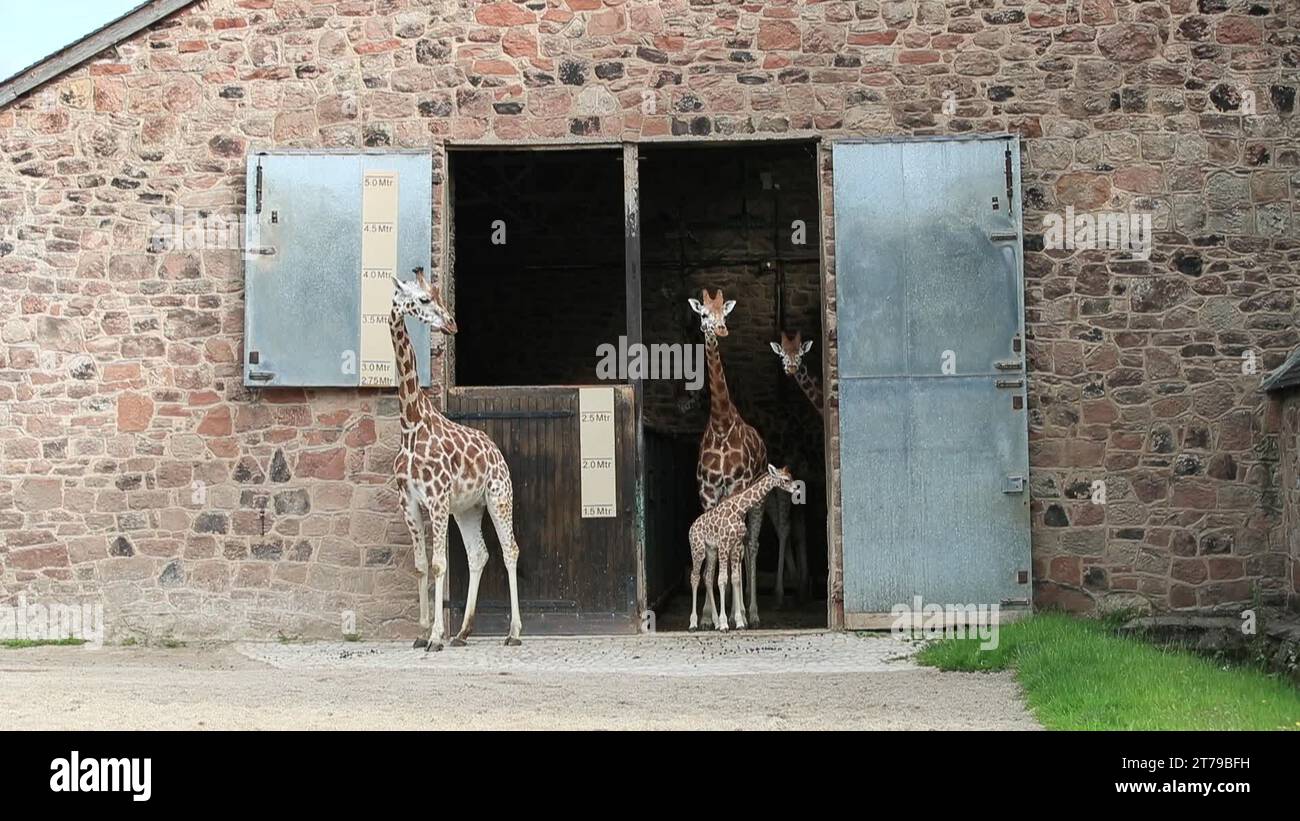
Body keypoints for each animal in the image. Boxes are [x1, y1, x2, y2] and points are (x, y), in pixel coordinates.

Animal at [390, 267, 523, 651]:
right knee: (479, 553)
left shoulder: (436, 499)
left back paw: (514, 633)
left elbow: (438, 565)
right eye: (423, 299)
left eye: (437, 296)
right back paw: (463, 632)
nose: (451, 324)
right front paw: (422, 633)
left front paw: (435, 637)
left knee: (510, 549)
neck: (411, 422)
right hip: (467, 508)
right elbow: (421, 565)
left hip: (499, 496)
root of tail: (496, 450)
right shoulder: (409, 501)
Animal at [689, 288, 789, 627]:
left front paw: (736, 613)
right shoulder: (707, 493)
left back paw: (752, 611)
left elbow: (737, 552)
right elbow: (712, 554)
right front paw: (708, 617)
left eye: (725, 313)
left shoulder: (737, 488)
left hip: (759, 501)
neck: (721, 425)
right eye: (704, 314)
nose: (720, 330)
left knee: (752, 546)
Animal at [689, 465, 800, 631]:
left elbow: (734, 578)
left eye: (791, 477)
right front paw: (725, 624)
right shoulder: (724, 543)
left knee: (707, 577)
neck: (740, 508)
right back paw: (693, 623)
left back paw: (714, 622)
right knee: (695, 577)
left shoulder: (735, 545)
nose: (796, 489)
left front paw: (739, 622)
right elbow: (722, 579)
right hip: (698, 549)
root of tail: (691, 528)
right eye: (786, 480)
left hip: (710, 550)